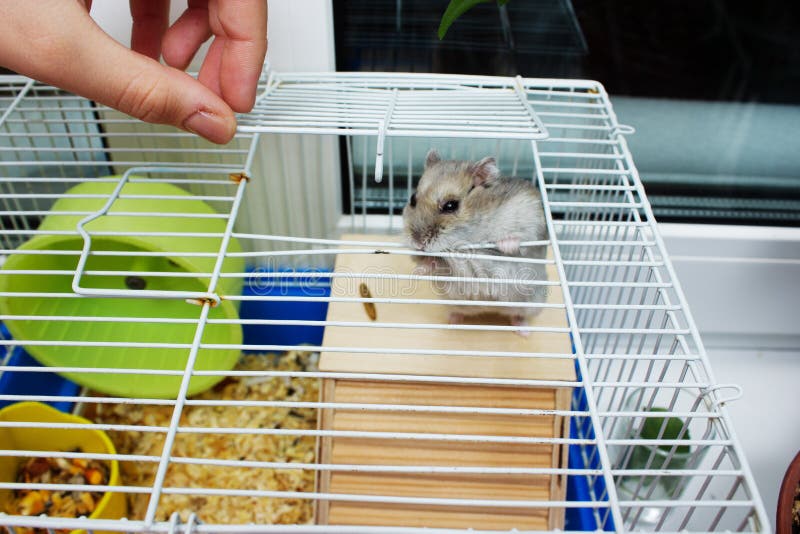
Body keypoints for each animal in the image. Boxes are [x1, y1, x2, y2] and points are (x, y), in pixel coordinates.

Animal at [402, 149, 549, 329]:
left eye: (450, 205)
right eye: (412, 199)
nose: (418, 243)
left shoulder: (530, 216)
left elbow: (520, 240)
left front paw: (506, 244)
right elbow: (431, 262)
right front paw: (418, 271)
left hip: (532, 302)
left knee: (518, 315)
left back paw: (523, 329)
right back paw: (453, 321)